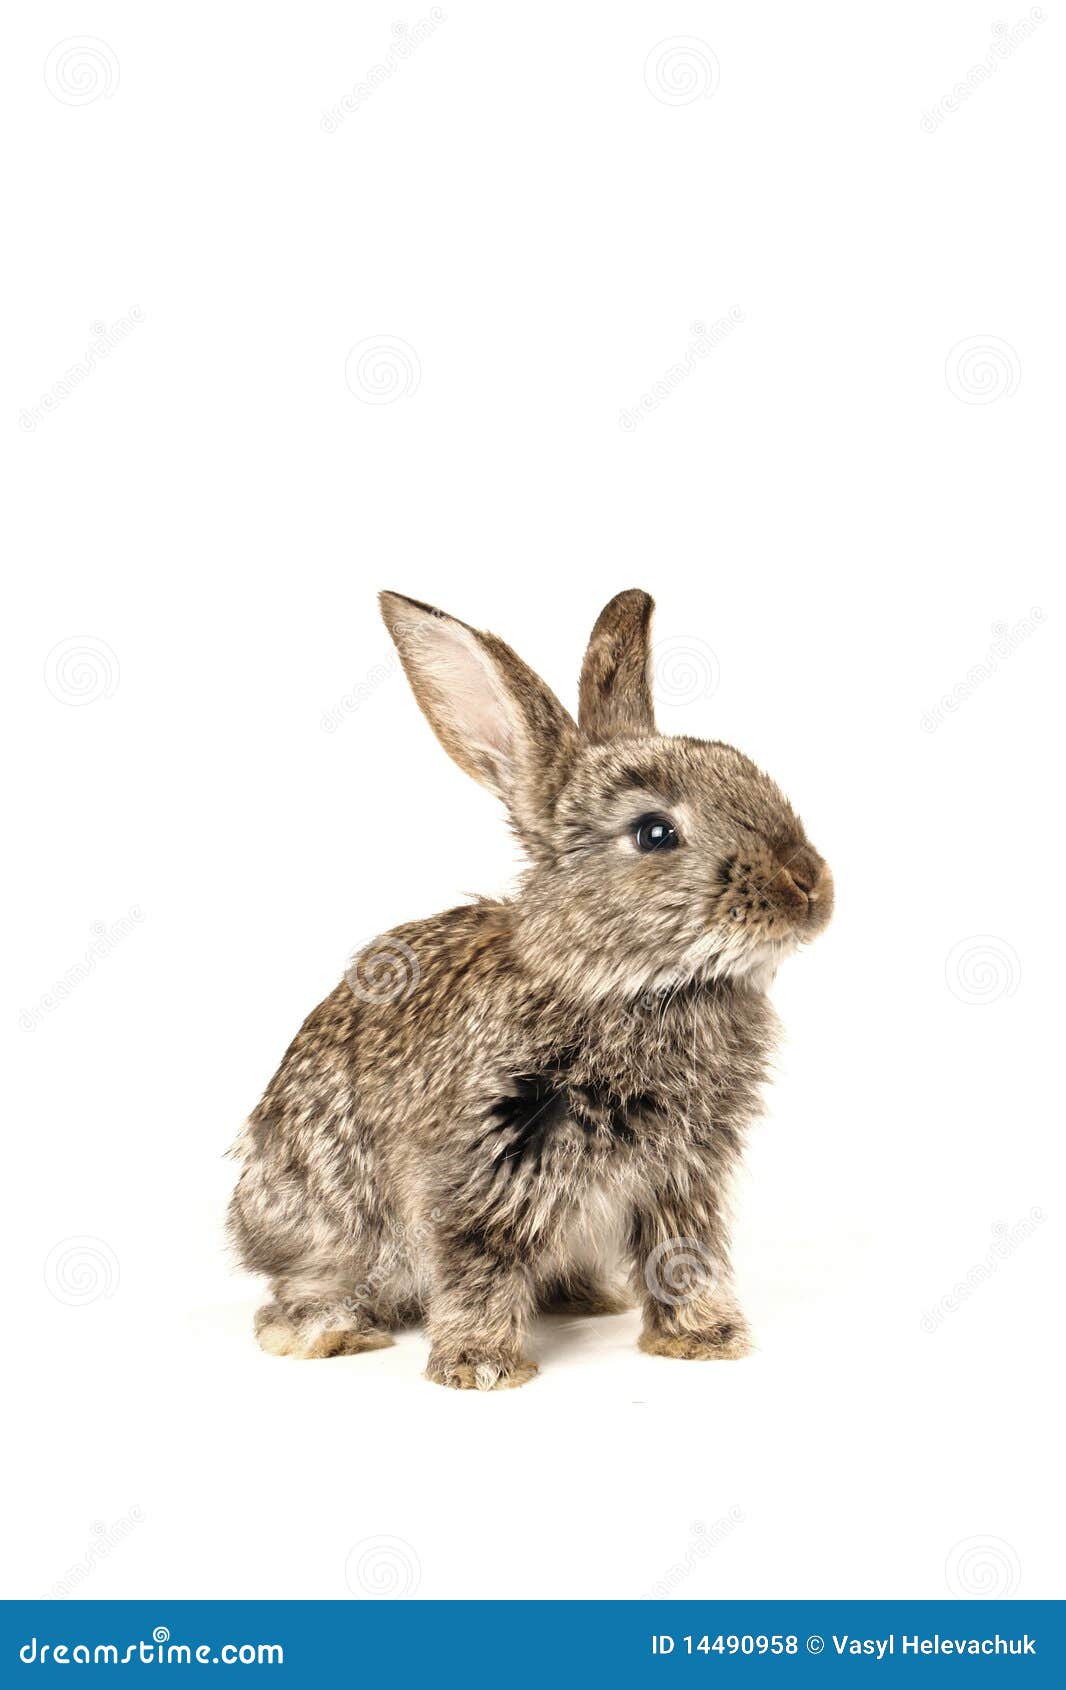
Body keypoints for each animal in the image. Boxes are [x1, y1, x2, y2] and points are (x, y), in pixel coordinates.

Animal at [227, 589, 833, 1389]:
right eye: (655, 832)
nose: (810, 885)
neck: (621, 981)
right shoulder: (487, 1162)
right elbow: (481, 1259)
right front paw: (480, 1368)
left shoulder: (680, 1176)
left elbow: (683, 1254)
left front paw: (705, 1340)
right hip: (328, 1220)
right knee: (299, 1290)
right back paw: (326, 1333)